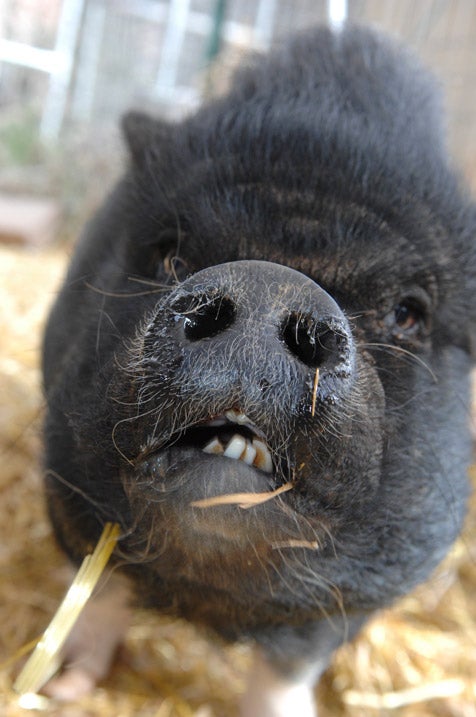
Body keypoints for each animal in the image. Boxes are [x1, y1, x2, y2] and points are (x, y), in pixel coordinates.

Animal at [41, 24, 476, 716]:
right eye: (172, 254)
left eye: (408, 313)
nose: (269, 282)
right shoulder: (64, 481)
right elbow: (102, 586)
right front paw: (65, 689)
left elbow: (289, 665)